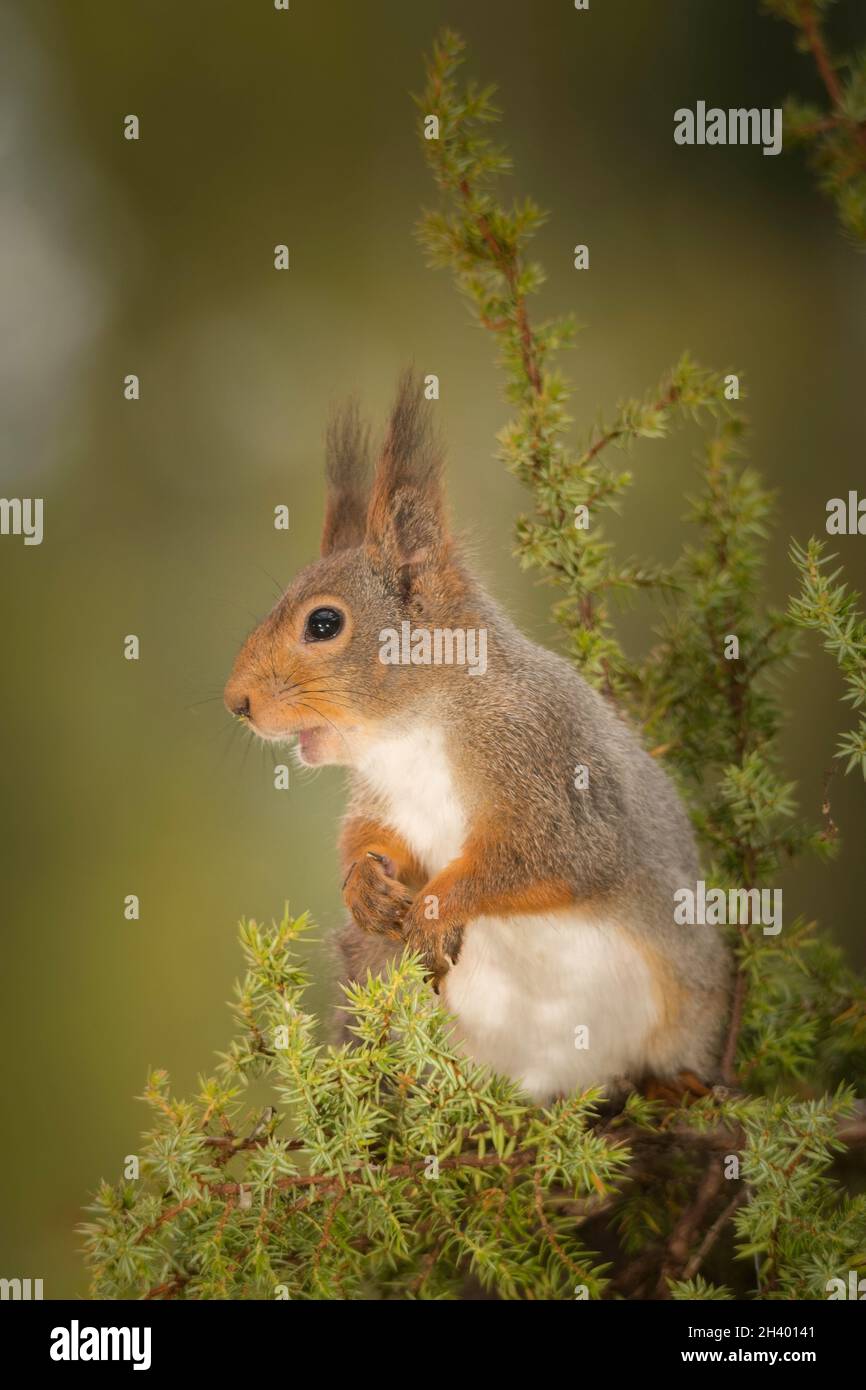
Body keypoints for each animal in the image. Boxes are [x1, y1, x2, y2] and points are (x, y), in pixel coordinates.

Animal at [224, 369, 731, 1104]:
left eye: (323, 624)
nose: (236, 703)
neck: (416, 730)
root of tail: (558, 1084)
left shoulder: (549, 766)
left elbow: (539, 858)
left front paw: (437, 909)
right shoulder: (384, 795)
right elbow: (368, 838)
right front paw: (363, 883)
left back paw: (676, 1086)